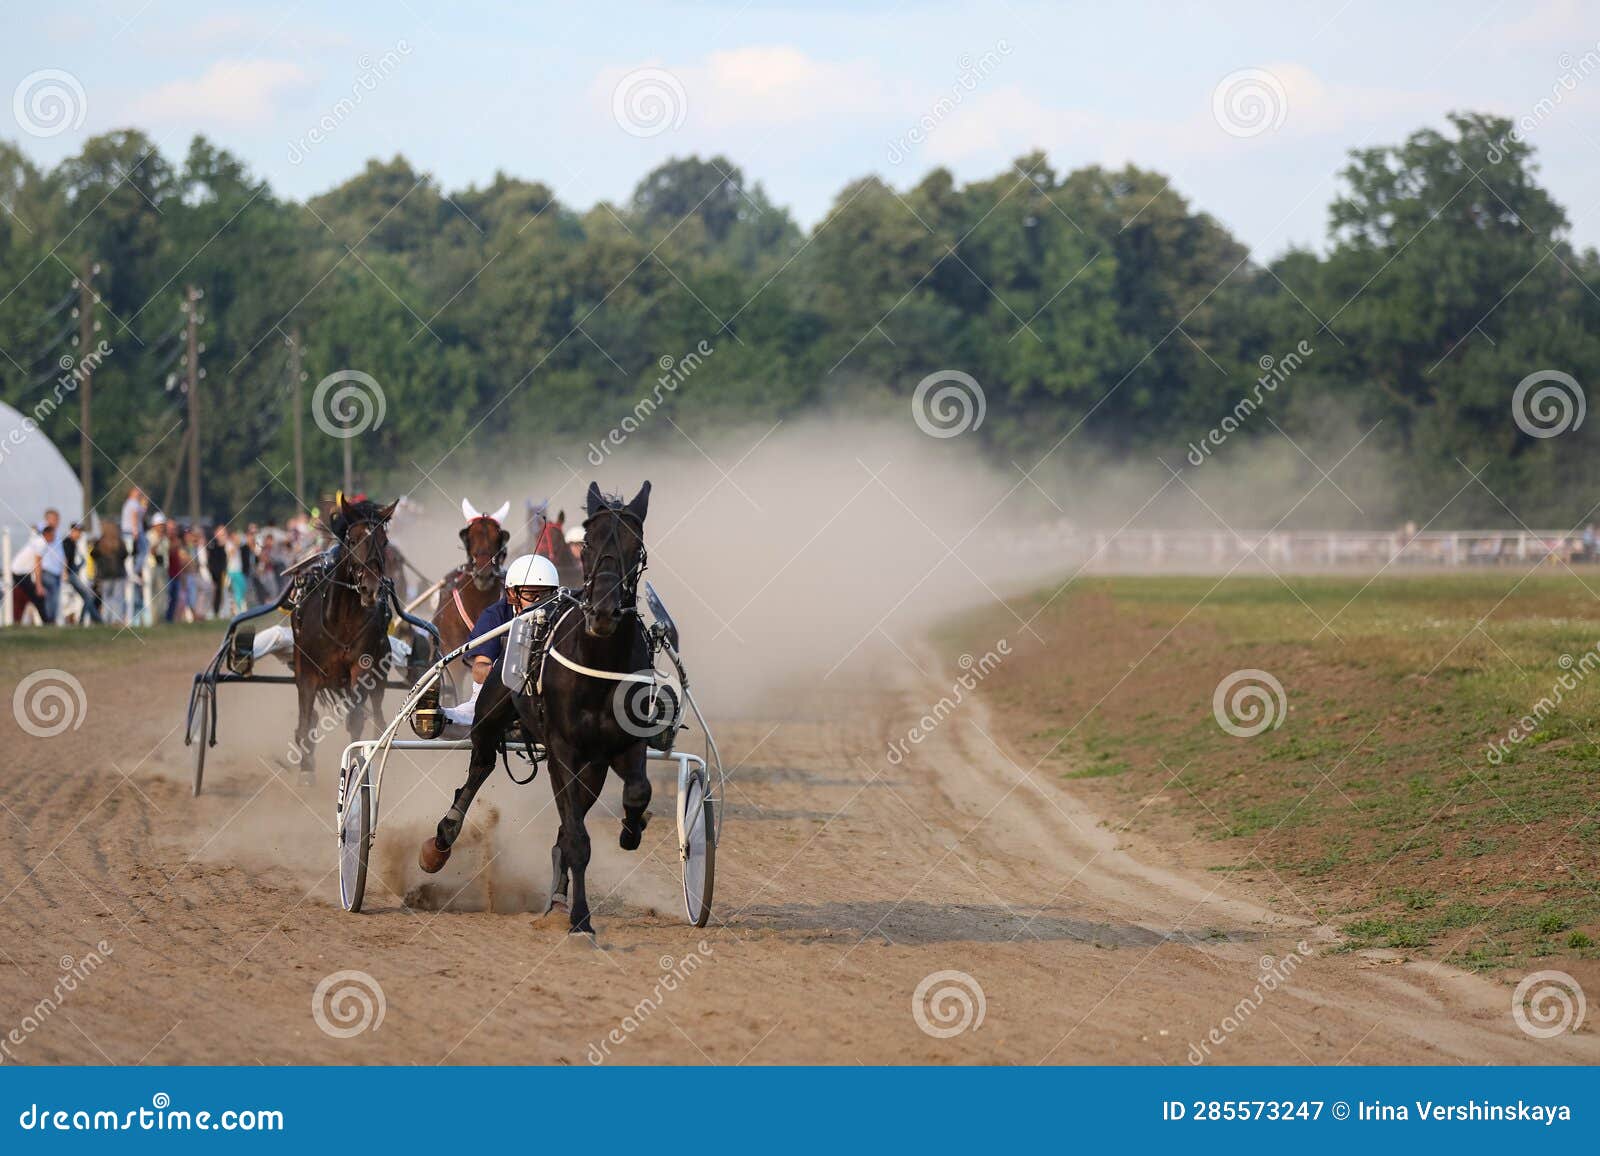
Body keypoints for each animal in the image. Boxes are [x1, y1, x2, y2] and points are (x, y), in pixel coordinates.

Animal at [288, 494, 398, 784]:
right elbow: (306, 717)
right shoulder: (308, 672)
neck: (341, 623)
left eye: (384, 541)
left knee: (377, 711)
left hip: (380, 670)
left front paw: (358, 764)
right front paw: (305, 768)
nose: (370, 588)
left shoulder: (362, 667)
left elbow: (357, 719)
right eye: (353, 540)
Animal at [418, 481, 654, 935]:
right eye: (588, 543)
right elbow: (577, 838)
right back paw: (443, 837)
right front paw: (581, 921)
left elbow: (636, 792)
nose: (603, 611)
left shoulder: (621, 746)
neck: (599, 662)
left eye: (636, 546)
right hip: (490, 714)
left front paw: (631, 831)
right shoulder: (562, 750)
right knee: (479, 767)